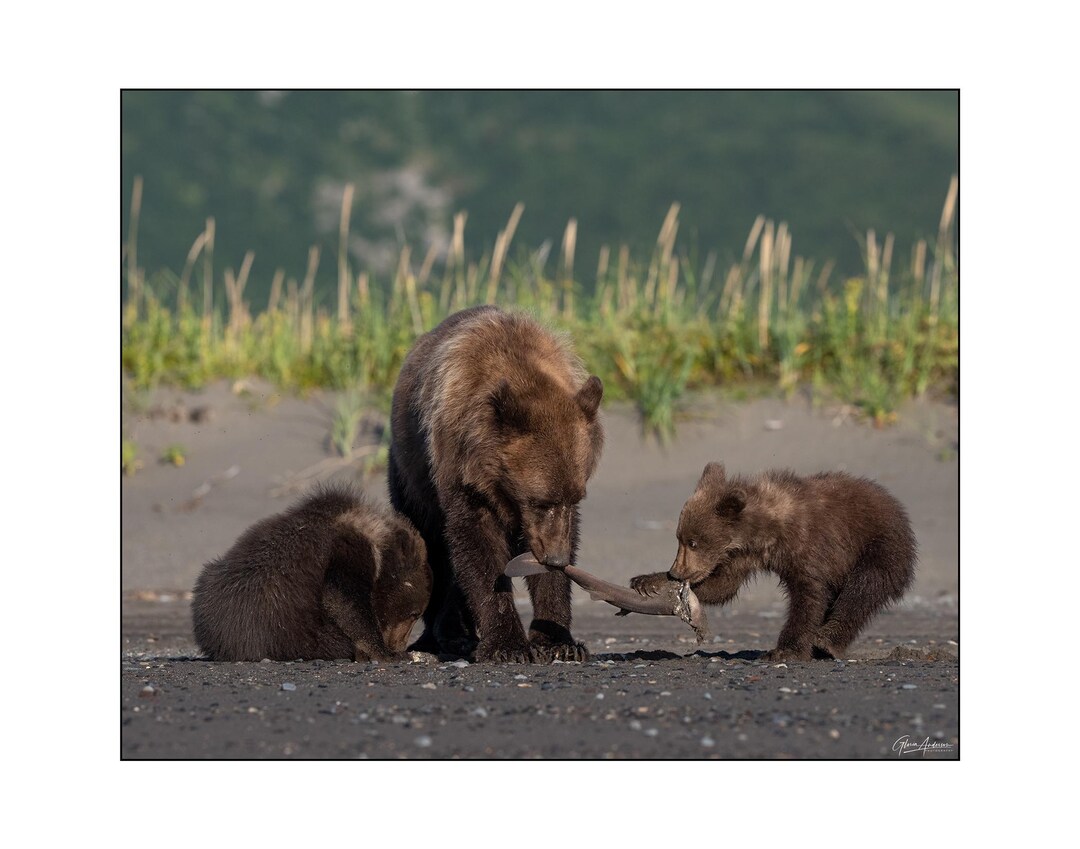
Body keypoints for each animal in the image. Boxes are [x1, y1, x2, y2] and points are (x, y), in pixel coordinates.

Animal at [191, 484, 431, 662]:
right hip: (284, 629)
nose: (400, 645)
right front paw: (384, 652)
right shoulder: (349, 549)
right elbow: (343, 598)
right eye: (414, 614)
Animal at [388, 305, 604, 663]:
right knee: (431, 549)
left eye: (575, 497)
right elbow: (477, 549)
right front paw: (507, 645)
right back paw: (443, 637)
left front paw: (559, 642)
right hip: (411, 477)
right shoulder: (462, 475)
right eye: (539, 500)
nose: (556, 558)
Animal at [630, 463, 916, 661]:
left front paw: (783, 651)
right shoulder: (744, 556)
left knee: (863, 589)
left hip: (879, 545)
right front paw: (646, 581)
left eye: (693, 542)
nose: (677, 571)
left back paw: (826, 642)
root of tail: (897, 507)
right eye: (680, 538)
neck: (769, 532)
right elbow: (722, 587)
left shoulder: (810, 547)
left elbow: (809, 597)